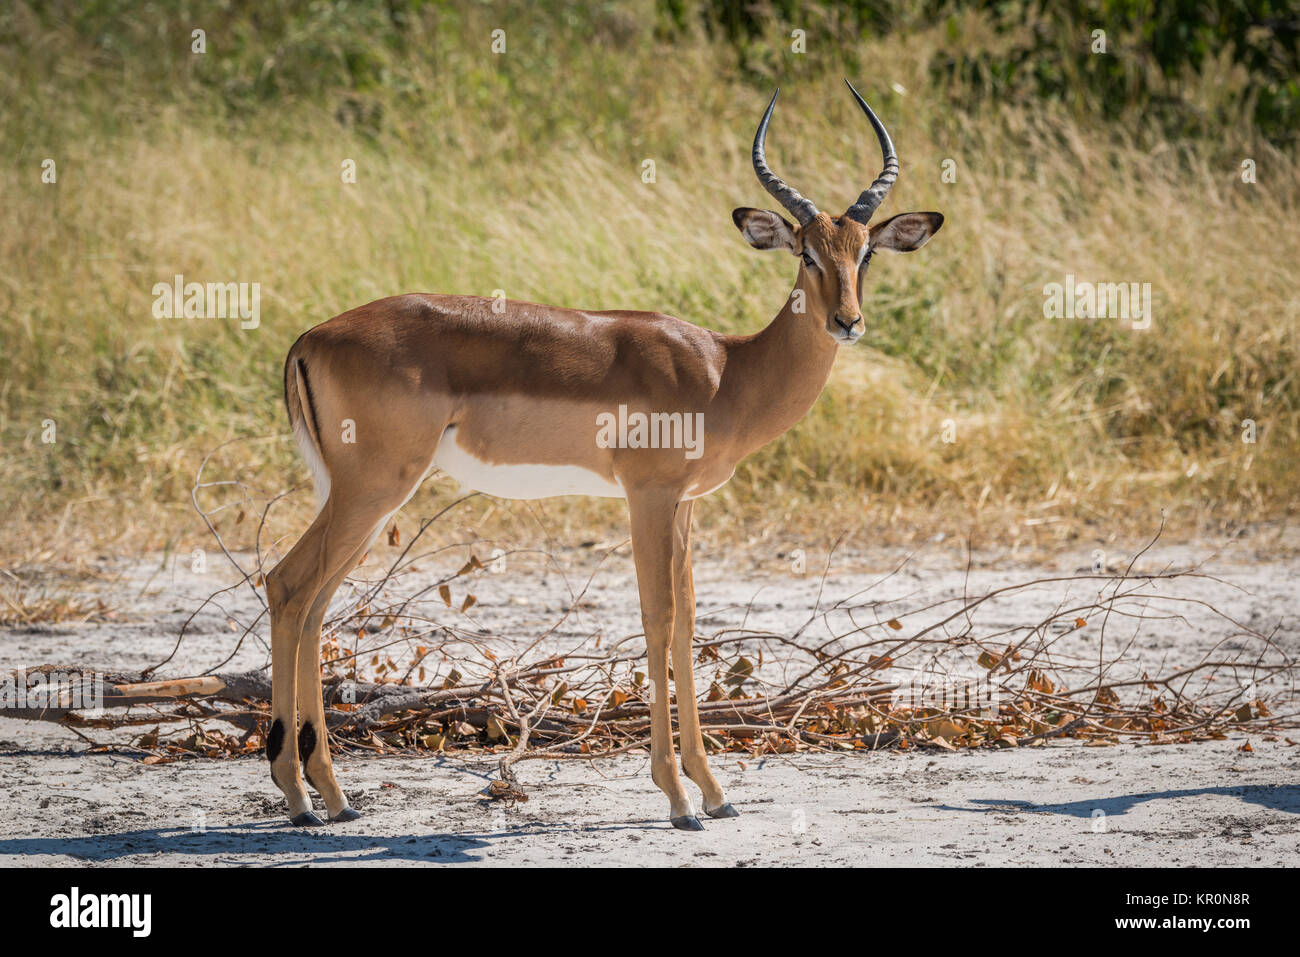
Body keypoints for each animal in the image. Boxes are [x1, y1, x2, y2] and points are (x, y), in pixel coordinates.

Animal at [266, 81, 943, 830]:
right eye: (806, 254)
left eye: (865, 253)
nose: (847, 321)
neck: (726, 371)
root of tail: (311, 337)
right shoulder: (646, 495)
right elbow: (658, 619)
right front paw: (678, 798)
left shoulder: (683, 506)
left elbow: (688, 622)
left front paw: (715, 791)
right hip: (374, 488)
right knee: (288, 585)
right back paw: (301, 797)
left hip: (358, 495)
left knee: (314, 603)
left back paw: (330, 797)